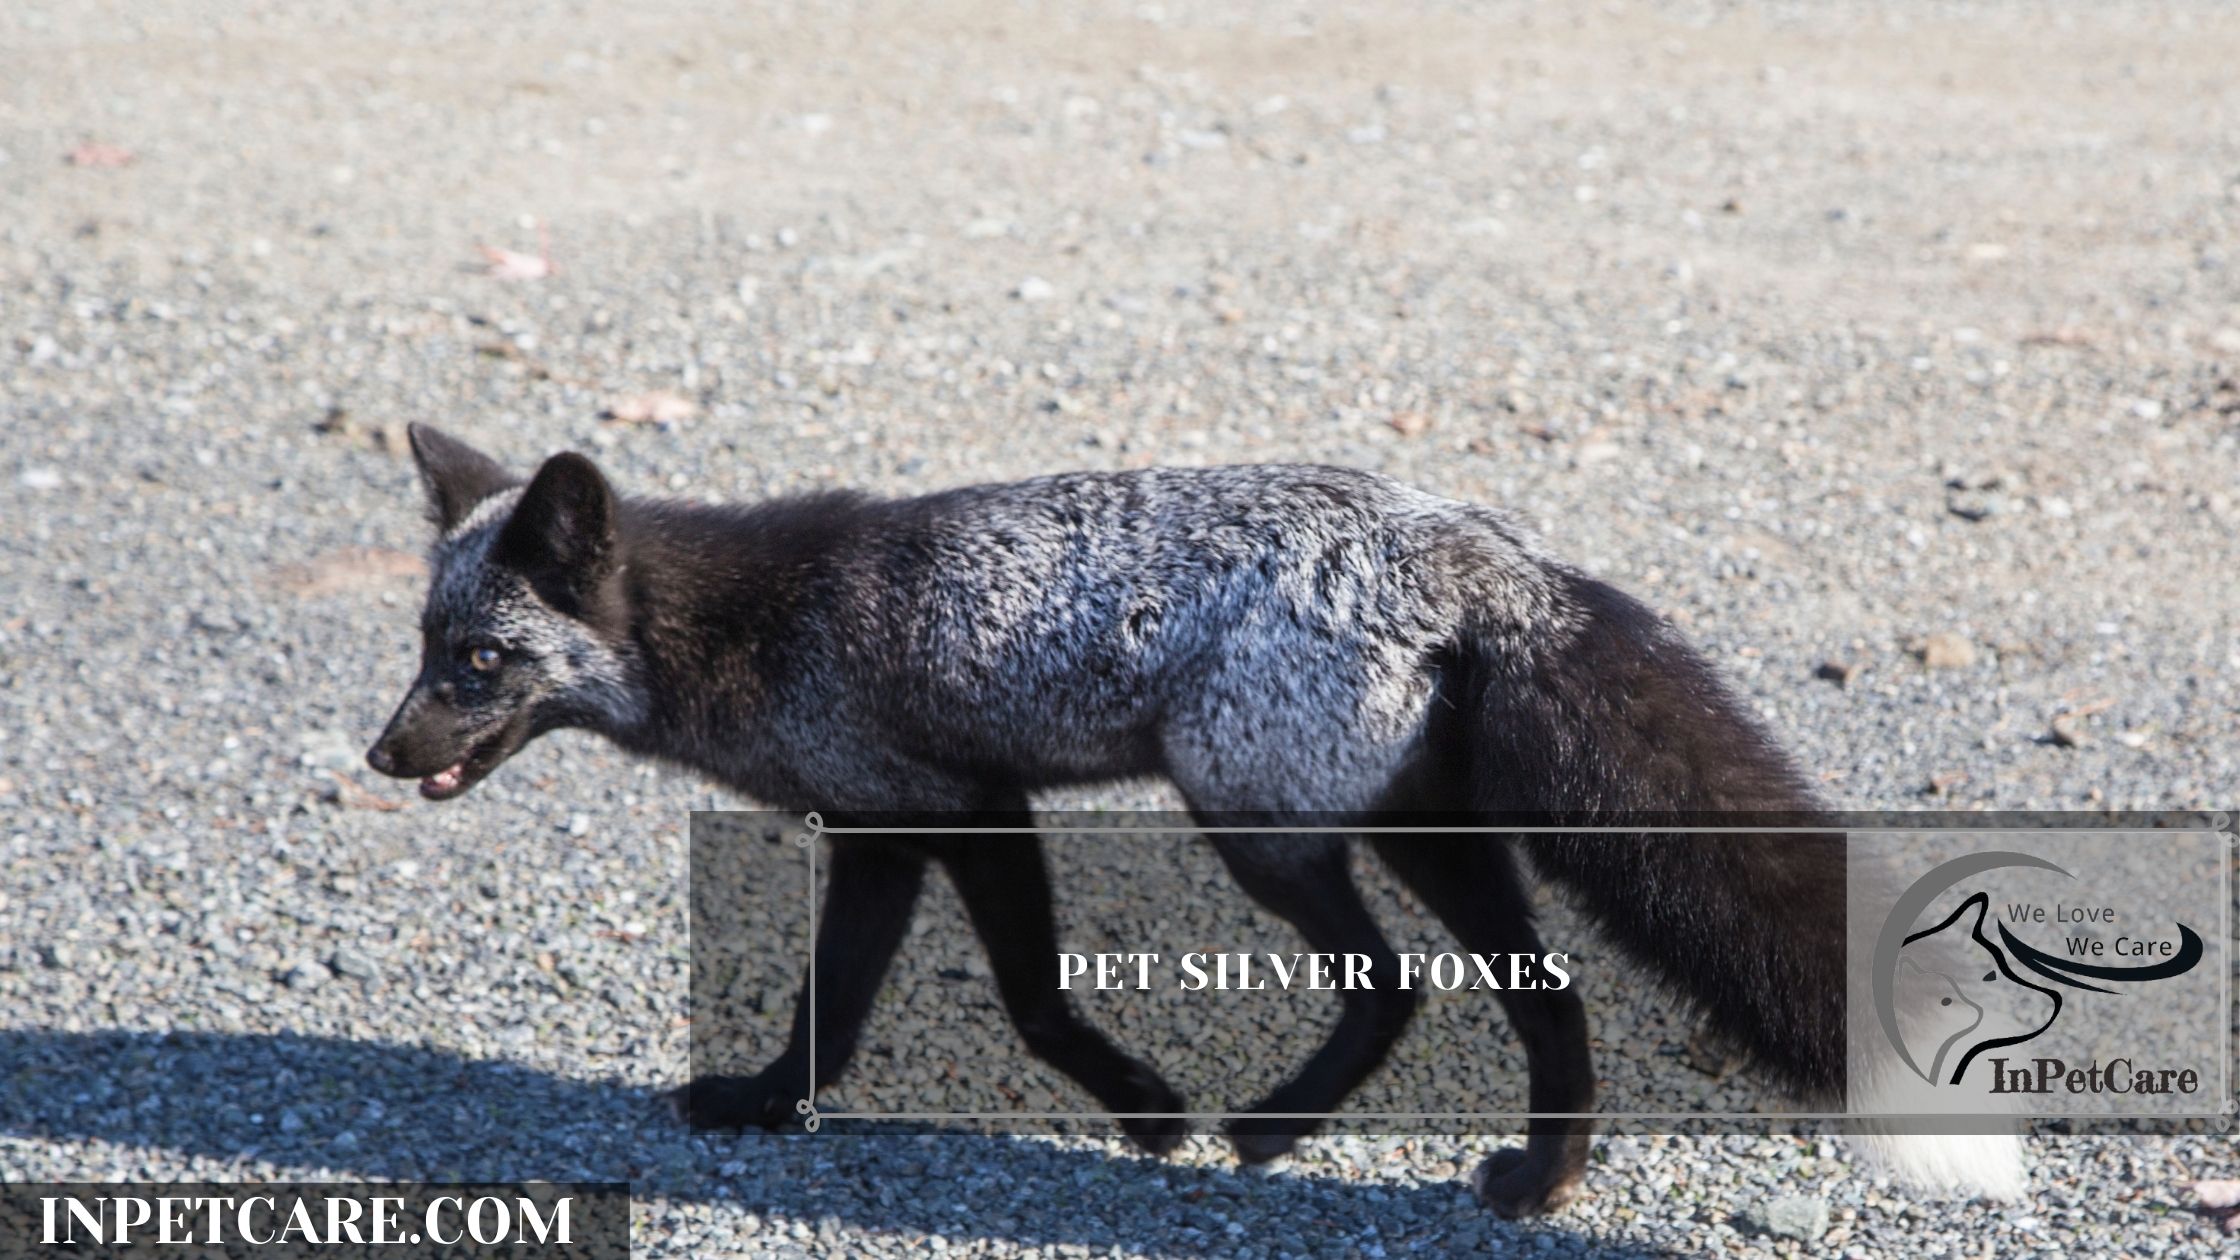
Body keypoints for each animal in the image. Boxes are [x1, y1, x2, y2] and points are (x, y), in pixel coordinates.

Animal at [366, 424, 2027, 1215]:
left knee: (1399, 984)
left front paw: (1144, 1109)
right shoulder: (898, 823)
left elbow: (1020, 1001)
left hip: (1259, 823)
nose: (382, 755)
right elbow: (841, 1005)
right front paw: (776, 1106)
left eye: (480, 662)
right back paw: (1534, 1182)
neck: (760, 629)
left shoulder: (965, 808)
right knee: (1539, 993)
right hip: (1415, 832)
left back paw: (1276, 1130)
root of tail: (1485, 550)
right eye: (424, 645)